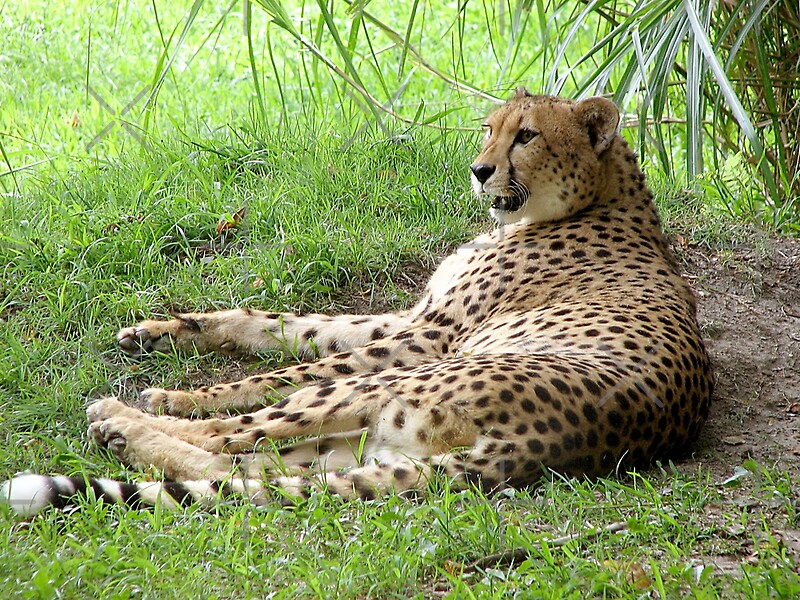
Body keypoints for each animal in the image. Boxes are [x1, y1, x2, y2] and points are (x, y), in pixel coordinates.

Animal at [2, 90, 713, 515]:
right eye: (490, 130)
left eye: (528, 136)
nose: (479, 169)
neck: (597, 197)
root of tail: (554, 447)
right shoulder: (411, 319)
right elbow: (286, 326)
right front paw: (165, 329)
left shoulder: (429, 337)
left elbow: (285, 371)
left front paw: (181, 393)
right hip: (374, 442)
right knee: (251, 468)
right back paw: (130, 435)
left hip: (398, 387)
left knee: (241, 436)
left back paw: (125, 419)